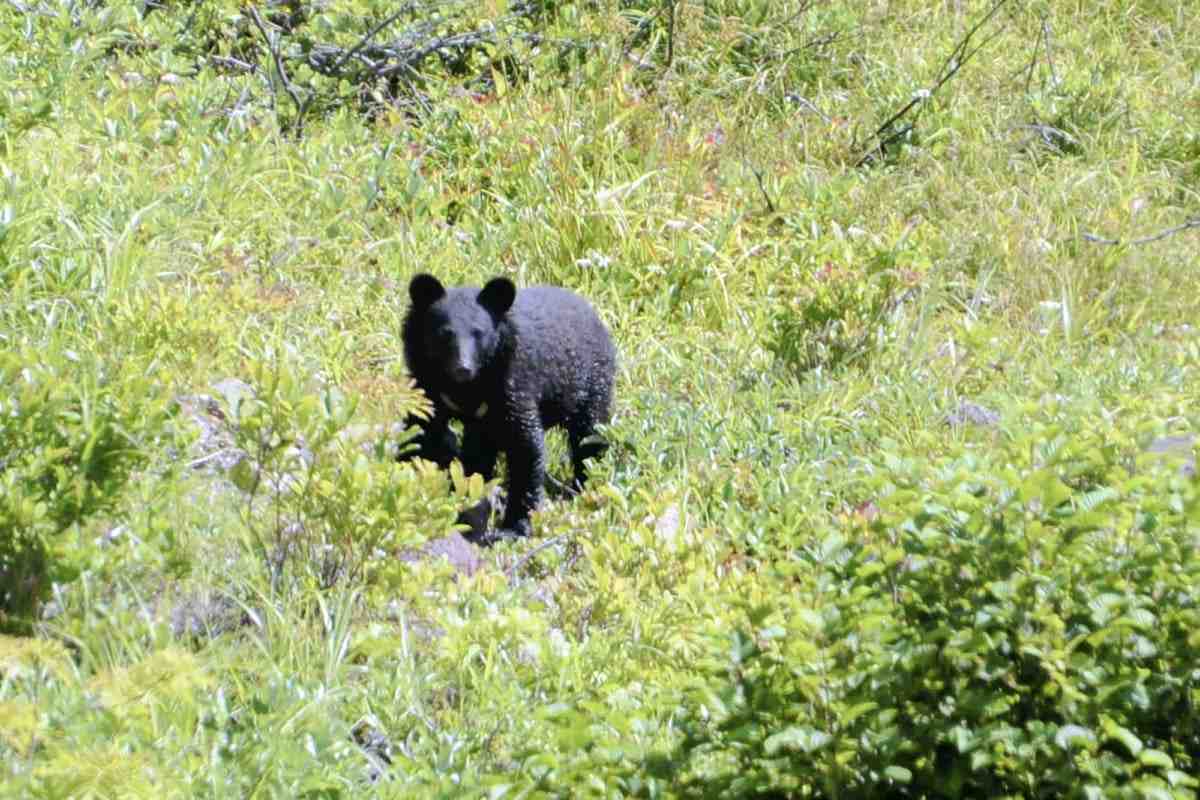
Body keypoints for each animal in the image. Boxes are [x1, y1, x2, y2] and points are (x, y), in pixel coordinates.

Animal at [399, 273, 616, 544]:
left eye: (479, 333)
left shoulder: (513, 385)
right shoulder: (428, 386)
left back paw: (585, 486)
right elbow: (420, 431)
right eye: (444, 334)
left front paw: (513, 528)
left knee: (590, 436)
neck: (467, 388)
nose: (463, 368)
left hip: (590, 383)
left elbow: (525, 446)